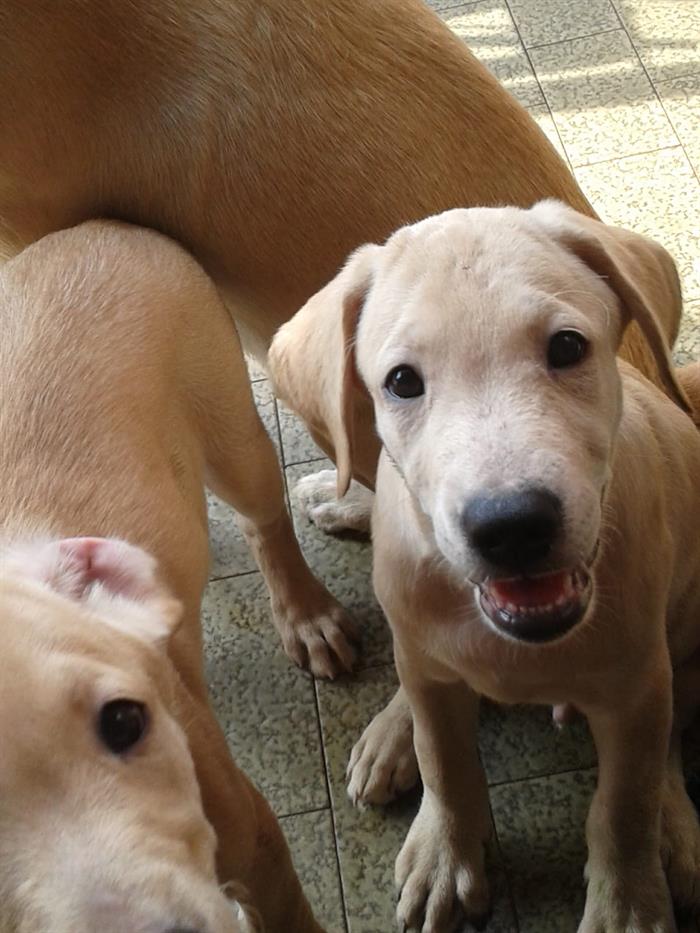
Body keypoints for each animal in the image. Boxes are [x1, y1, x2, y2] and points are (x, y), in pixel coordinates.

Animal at [0, 224, 322, 932]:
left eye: (124, 720)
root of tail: (91, 230)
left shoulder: (260, 844)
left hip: (232, 431)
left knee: (264, 519)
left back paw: (309, 615)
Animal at [270, 204, 700, 932]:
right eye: (402, 381)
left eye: (567, 347)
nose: (512, 526)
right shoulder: (430, 667)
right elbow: (445, 761)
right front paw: (447, 854)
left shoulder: (636, 688)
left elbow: (624, 805)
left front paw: (626, 904)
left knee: (672, 733)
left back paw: (674, 827)